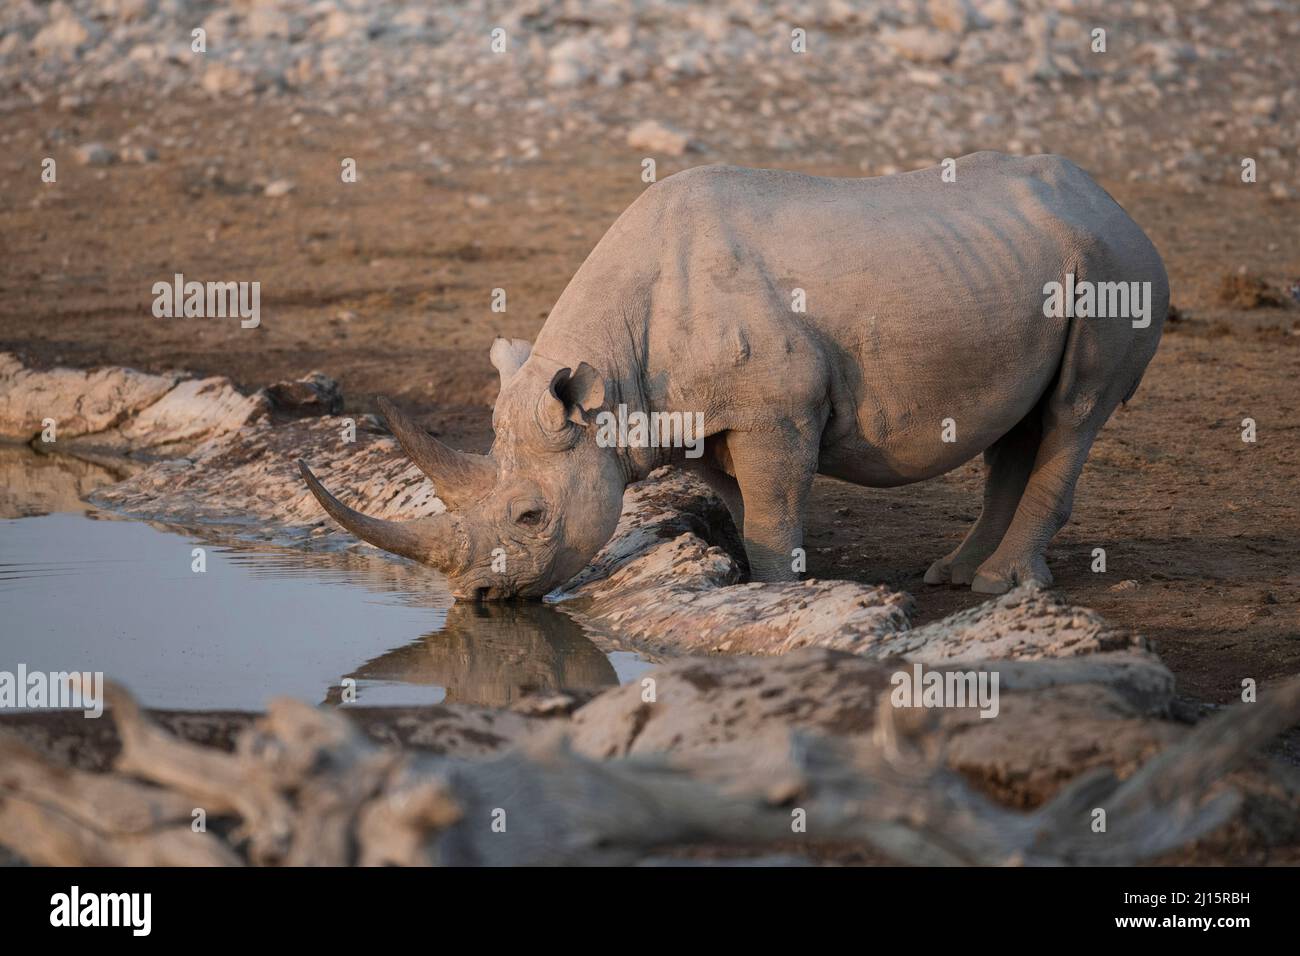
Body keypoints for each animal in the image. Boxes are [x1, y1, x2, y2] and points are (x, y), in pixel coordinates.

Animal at [300, 152, 1168, 600]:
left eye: (529, 517)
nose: (476, 600)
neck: (608, 384)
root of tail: (1115, 201)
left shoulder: (774, 412)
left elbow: (774, 509)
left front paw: (780, 592)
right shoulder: (697, 419)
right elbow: (747, 507)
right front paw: (758, 582)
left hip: (1113, 266)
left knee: (1074, 413)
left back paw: (1002, 588)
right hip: (1027, 262)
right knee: (1020, 425)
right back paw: (955, 576)